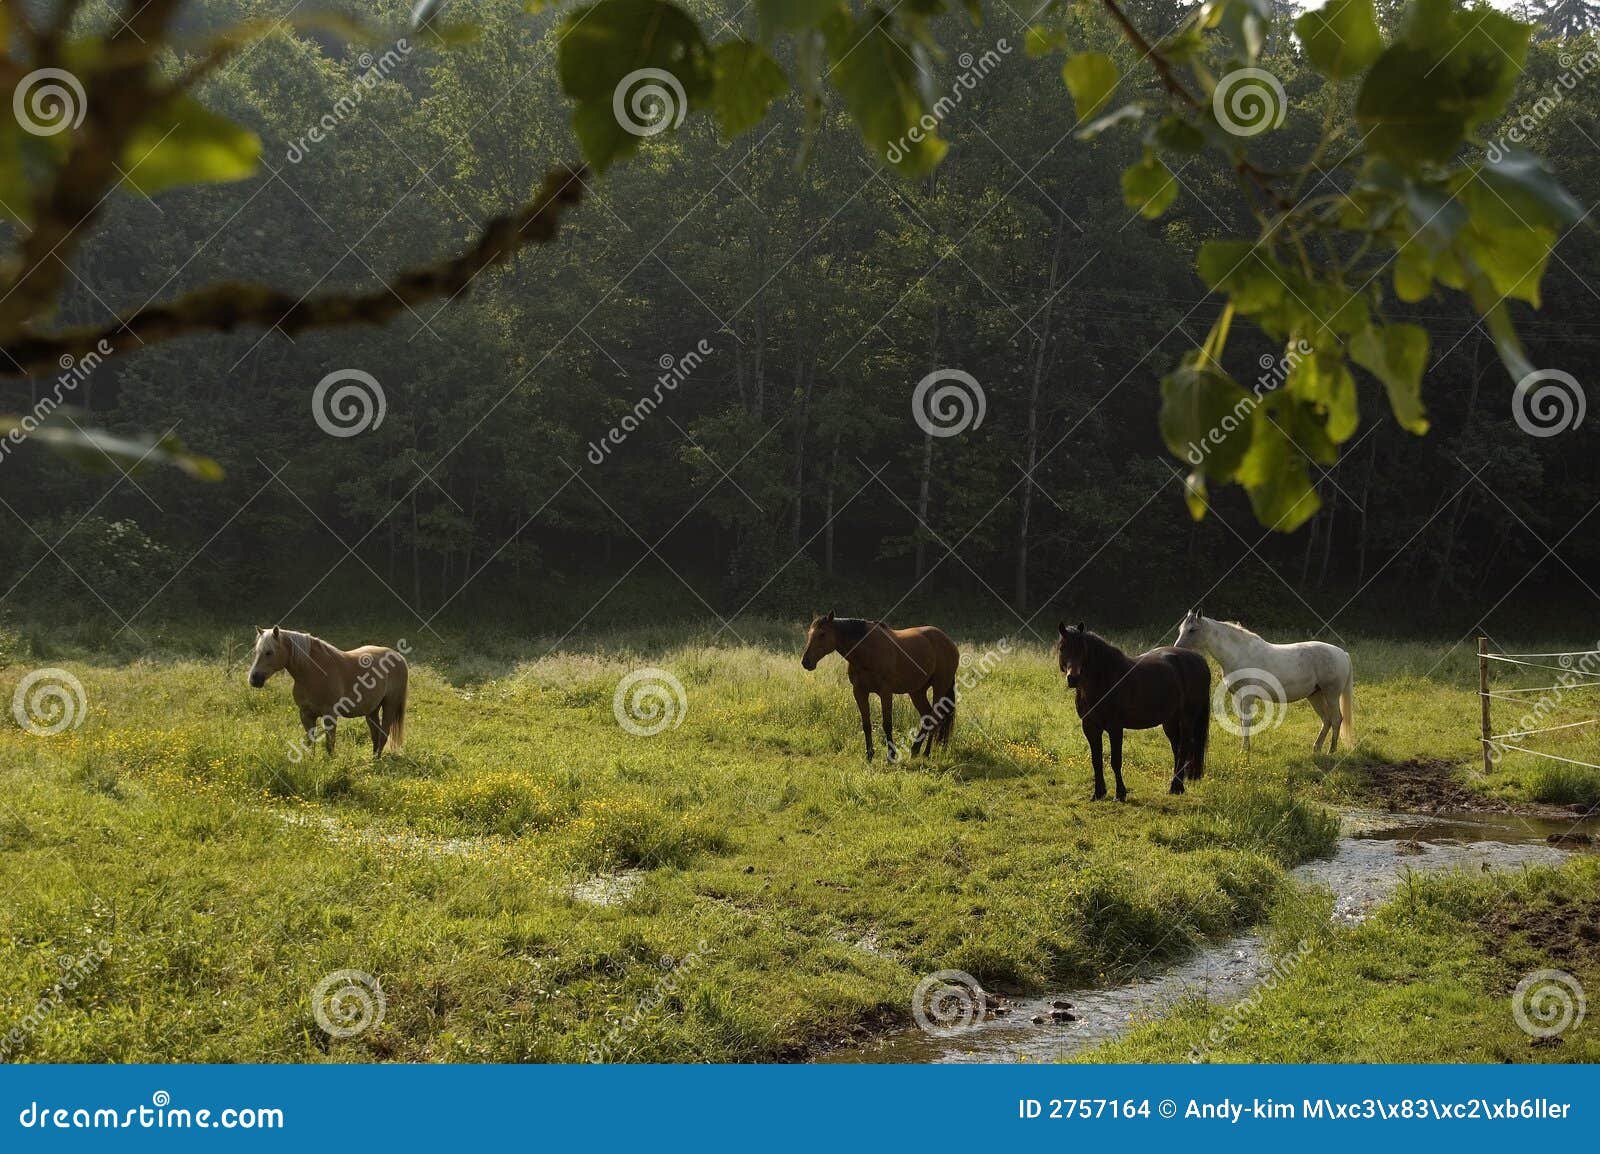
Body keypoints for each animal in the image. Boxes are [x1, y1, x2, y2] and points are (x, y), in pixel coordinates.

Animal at [247, 626, 408, 757]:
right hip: (372, 710)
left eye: (269, 652)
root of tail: (398, 656)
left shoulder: (330, 715)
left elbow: (330, 745)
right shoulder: (305, 714)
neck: (313, 673)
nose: (254, 679)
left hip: (390, 705)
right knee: (376, 734)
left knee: (384, 734)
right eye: (257, 651)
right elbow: (310, 743)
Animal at [801, 612, 960, 761]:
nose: (806, 662)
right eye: (809, 634)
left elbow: (887, 724)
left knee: (935, 717)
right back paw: (915, 750)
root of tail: (948, 642)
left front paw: (891, 756)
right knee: (927, 716)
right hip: (917, 691)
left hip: (940, 686)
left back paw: (926, 753)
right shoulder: (859, 692)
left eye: (822, 634)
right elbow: (866, 724)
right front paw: (869, 755)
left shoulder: (885, 692)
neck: (868, 651)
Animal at [1056, 622, 1211, 800]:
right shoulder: (1090, 727)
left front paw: (1120, 794)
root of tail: (1200, 659)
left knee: (1184, 748)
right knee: (1177, 749)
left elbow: (1115, 761)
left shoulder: (1115, 727)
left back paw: (1175, 787)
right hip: (1170, 721)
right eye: (1062, 648)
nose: (1073, 678)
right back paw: (1178, 786)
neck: (1104, 680)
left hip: (1187, 718)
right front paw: (1098, 793)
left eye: (1082, 648)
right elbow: (1096, 760)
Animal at [1173, 610, 1354, 754]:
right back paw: (1316, 748)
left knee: (1337, 719)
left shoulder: (1247, 696)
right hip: (1315, 695)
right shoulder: (1237, 696)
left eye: (1193, 630)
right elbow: (1242, 721)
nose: (1177, 649)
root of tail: (1342, 653)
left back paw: (1331, 750)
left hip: (1331, 694)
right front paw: (1246, 748)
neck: (1239, 653)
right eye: (1180, 630)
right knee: (1326, 720)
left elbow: (1246, 721)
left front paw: (1244, 750)